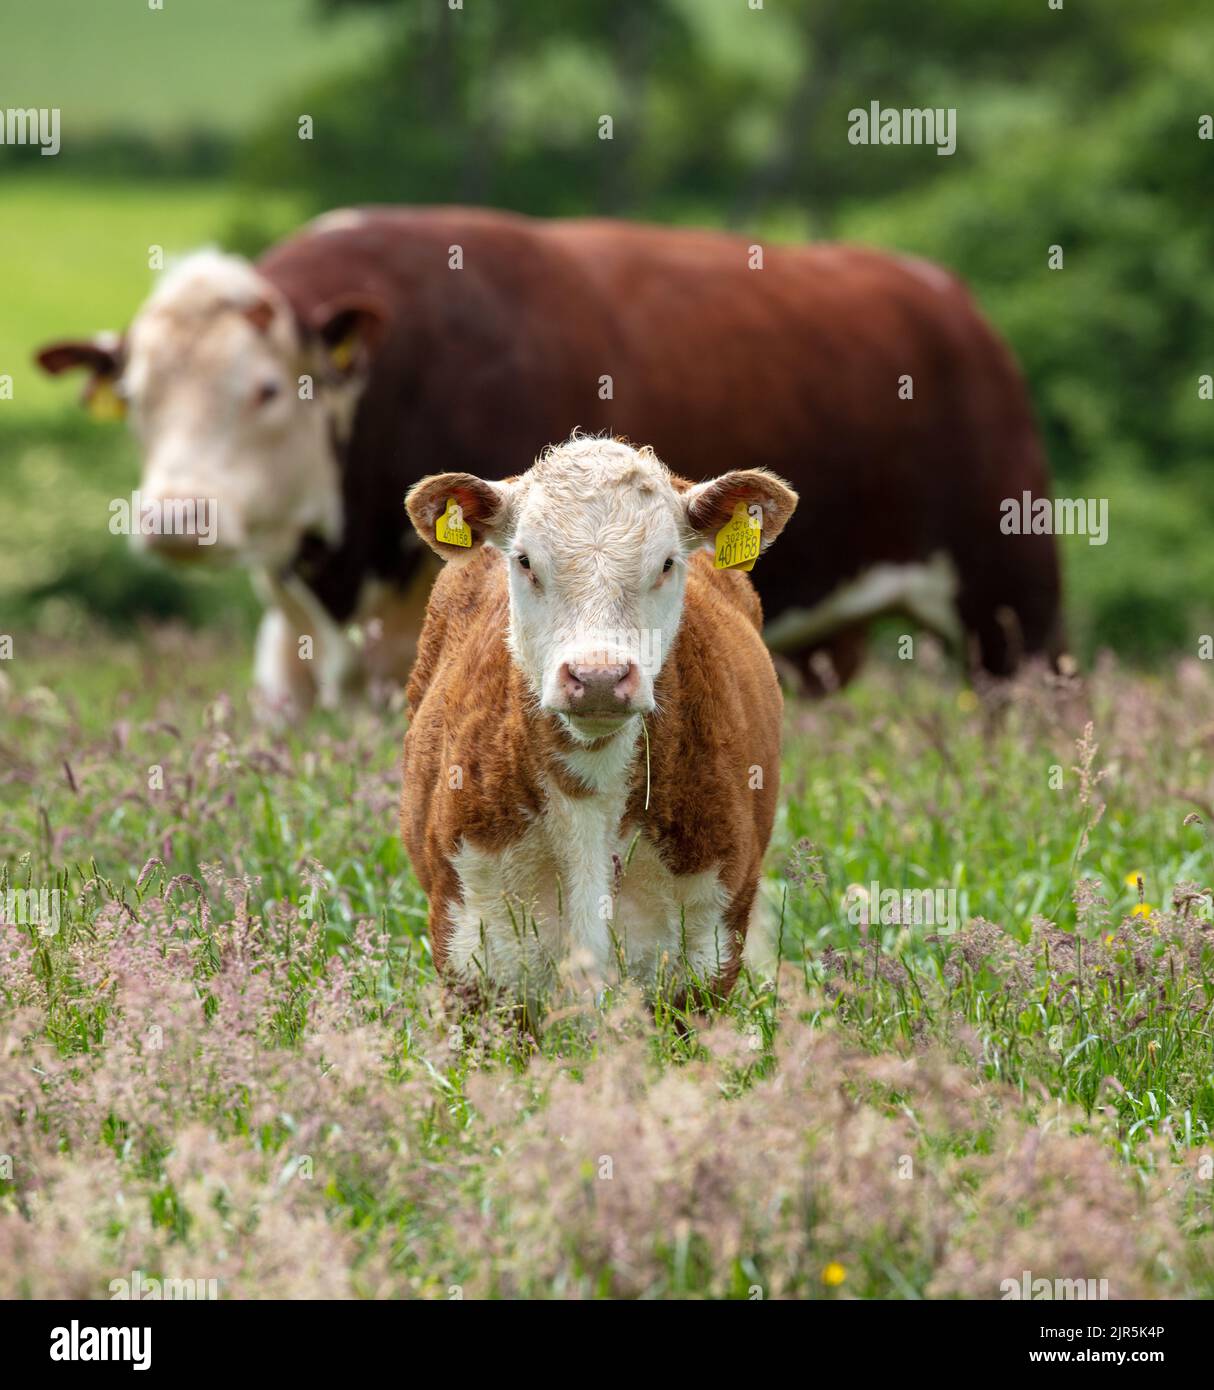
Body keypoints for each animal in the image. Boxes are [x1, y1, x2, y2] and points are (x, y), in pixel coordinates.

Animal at [36, 206, 1062, 715]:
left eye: (262, 390)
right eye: (136, 400)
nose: (176, 518)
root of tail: (942, 293)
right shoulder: (290, 655)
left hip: (1011, 607)